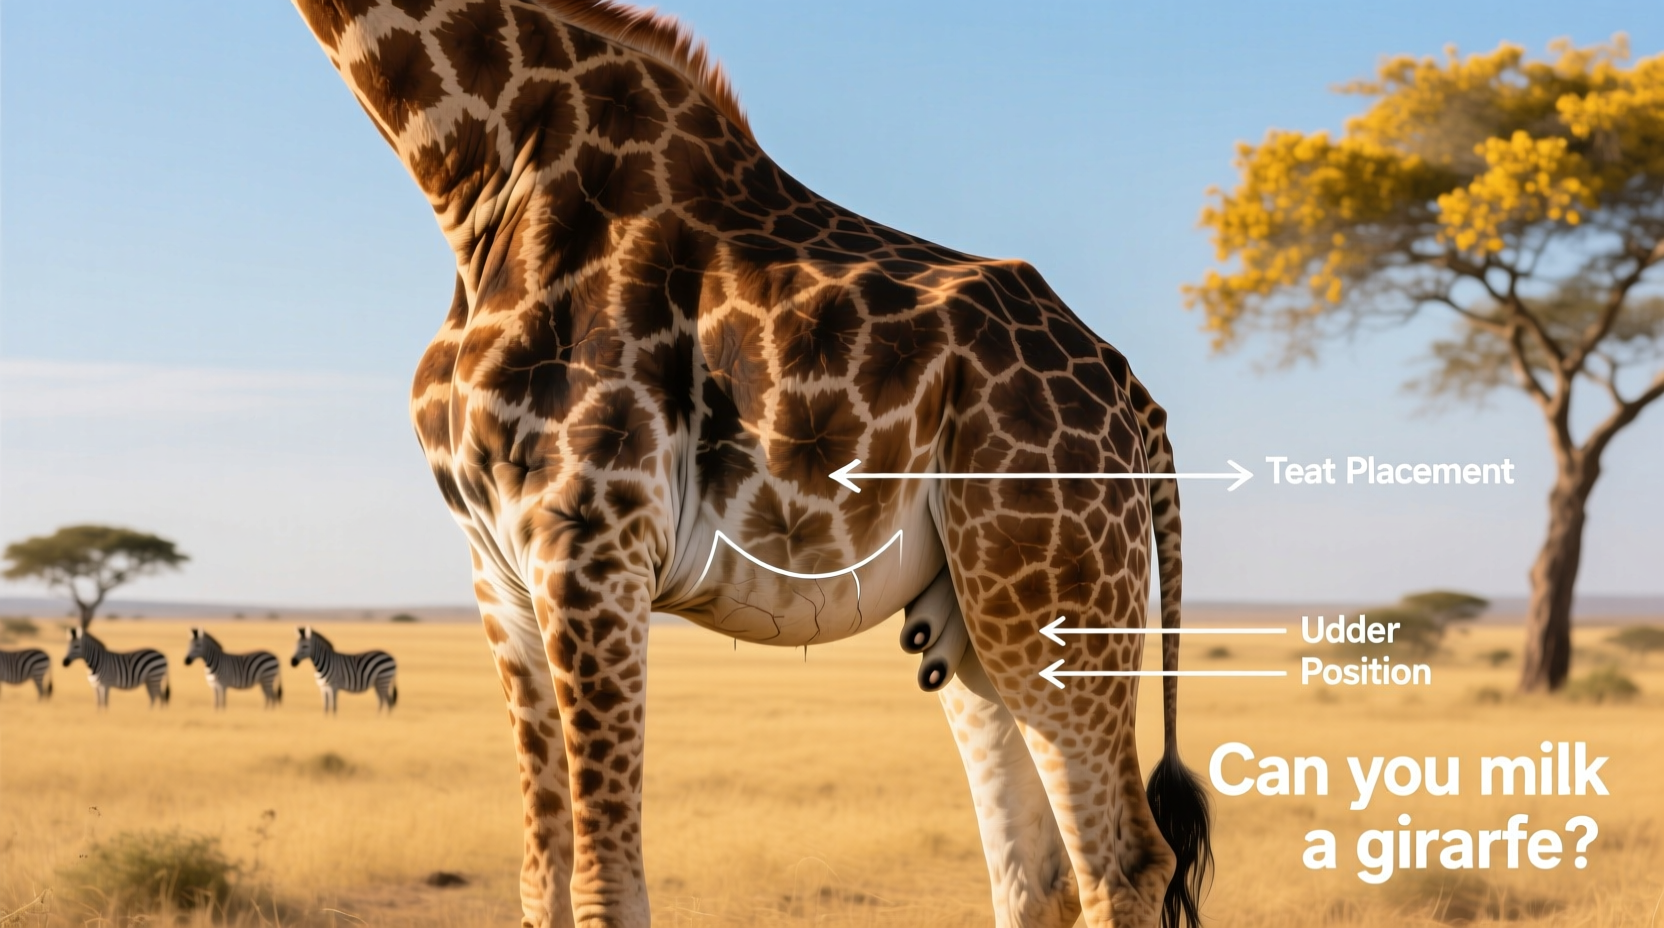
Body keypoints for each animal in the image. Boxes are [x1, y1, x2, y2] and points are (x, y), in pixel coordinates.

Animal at [292, 2, 1212, 926]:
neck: (479, 181)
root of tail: (1132, 397)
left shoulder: (591, 540)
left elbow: (604, 885)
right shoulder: (499, 573)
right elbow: (540, 880)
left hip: (1051, 597)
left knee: (1125, 862)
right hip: (979, 616)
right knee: (1034, 873)